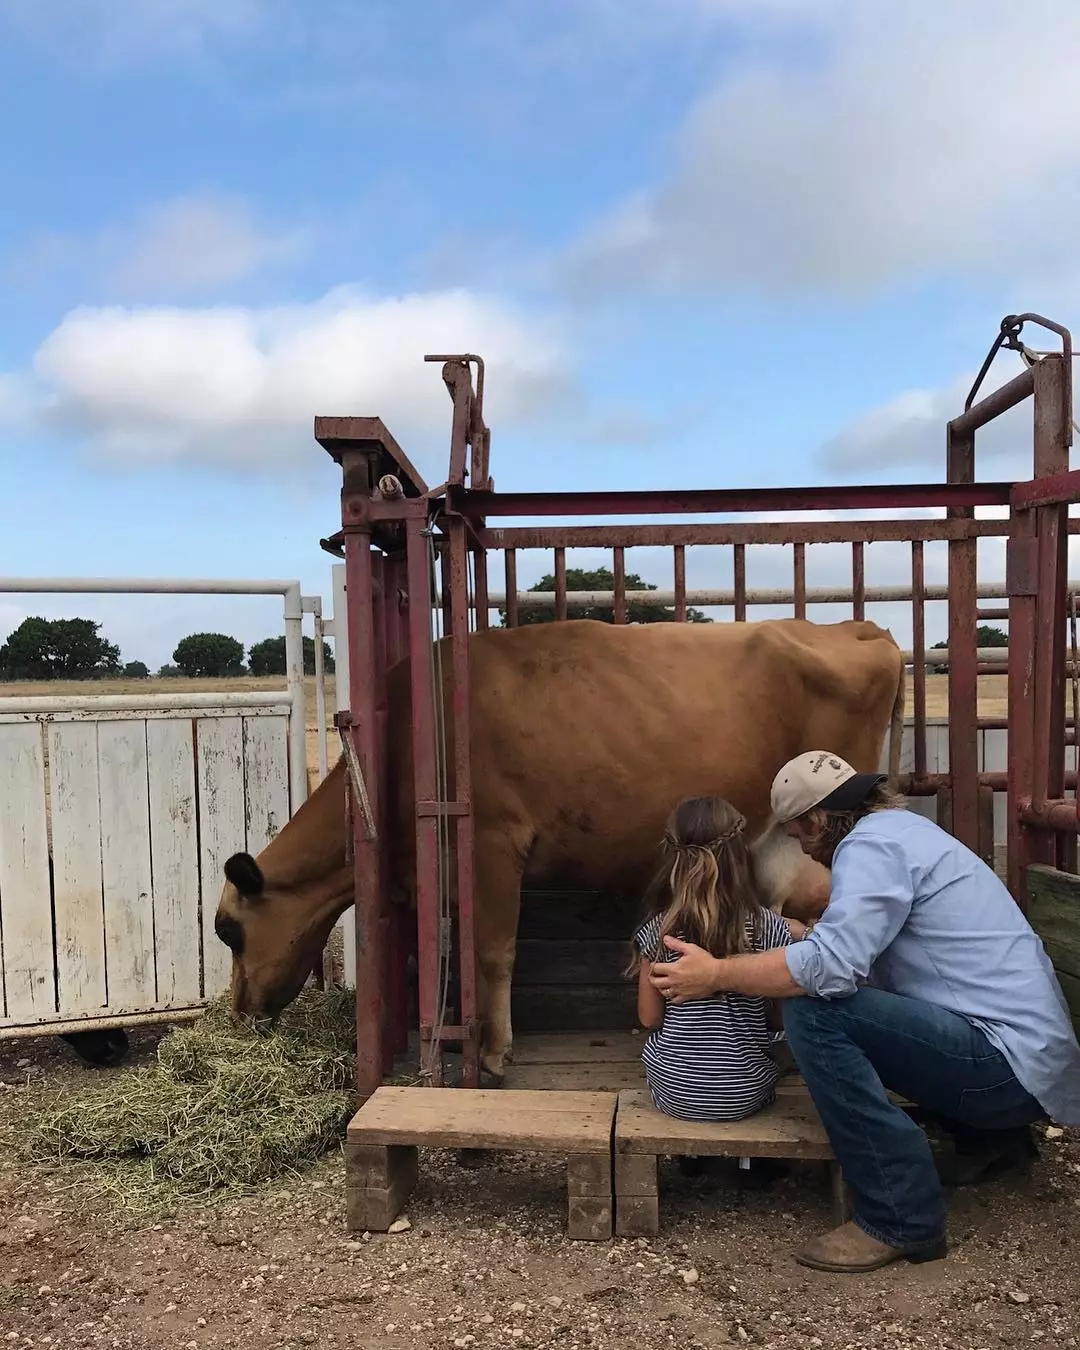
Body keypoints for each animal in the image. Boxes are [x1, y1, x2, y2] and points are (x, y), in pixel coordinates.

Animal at [217, 618, 901, 1074]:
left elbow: (494, 952)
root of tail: (855, 626)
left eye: (229, 930)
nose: (240, 1011)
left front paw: (493, 1054)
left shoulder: (494, 842)